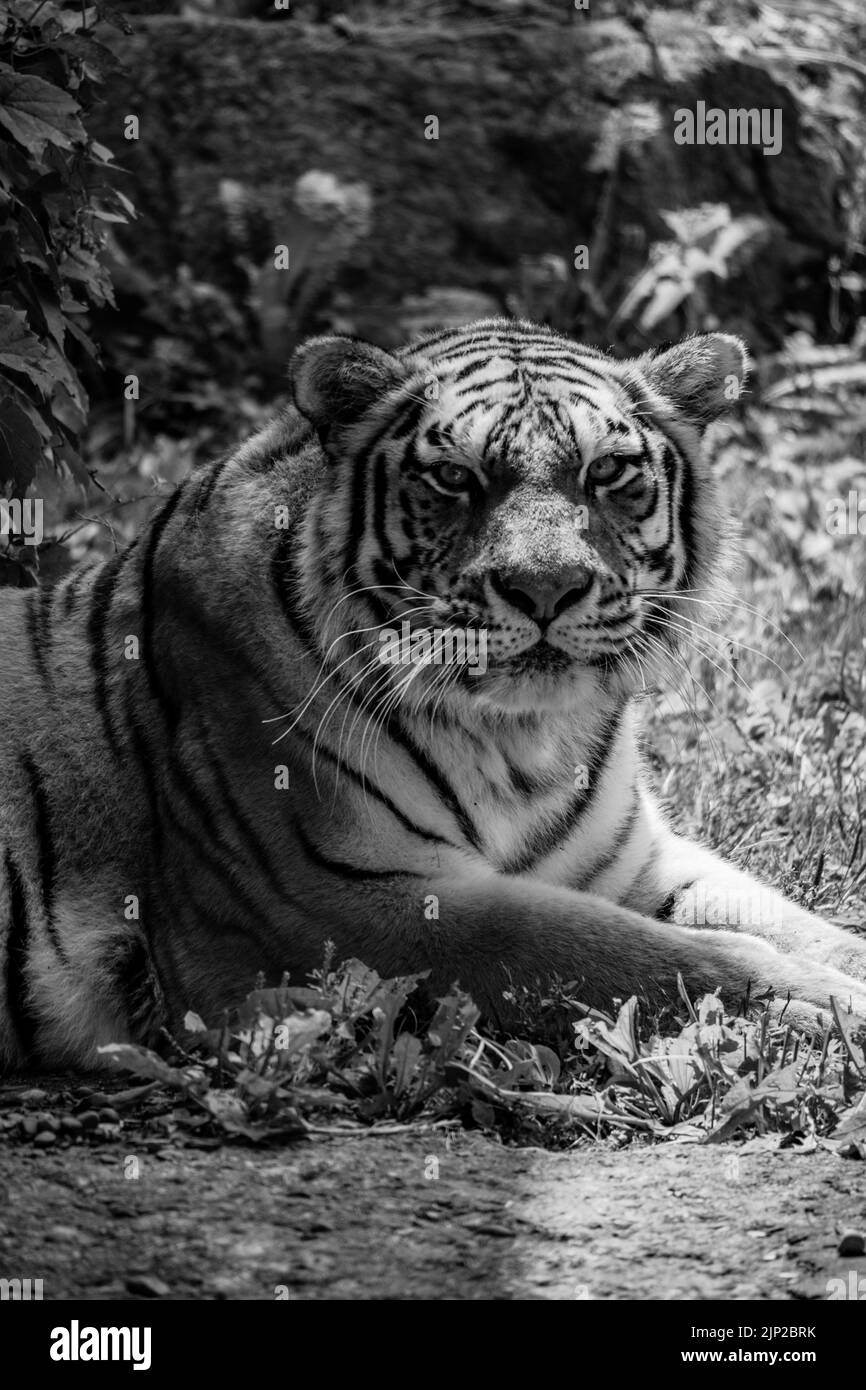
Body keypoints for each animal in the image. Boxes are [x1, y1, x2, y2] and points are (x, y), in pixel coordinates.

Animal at [2, 317, 866, 1070]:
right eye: (455, 478)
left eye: (607, 472)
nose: (545, 588)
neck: (526, 742)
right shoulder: (340, 910)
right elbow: (630, 956)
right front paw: (825, 1006)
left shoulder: (626, 864)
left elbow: (788, 924)